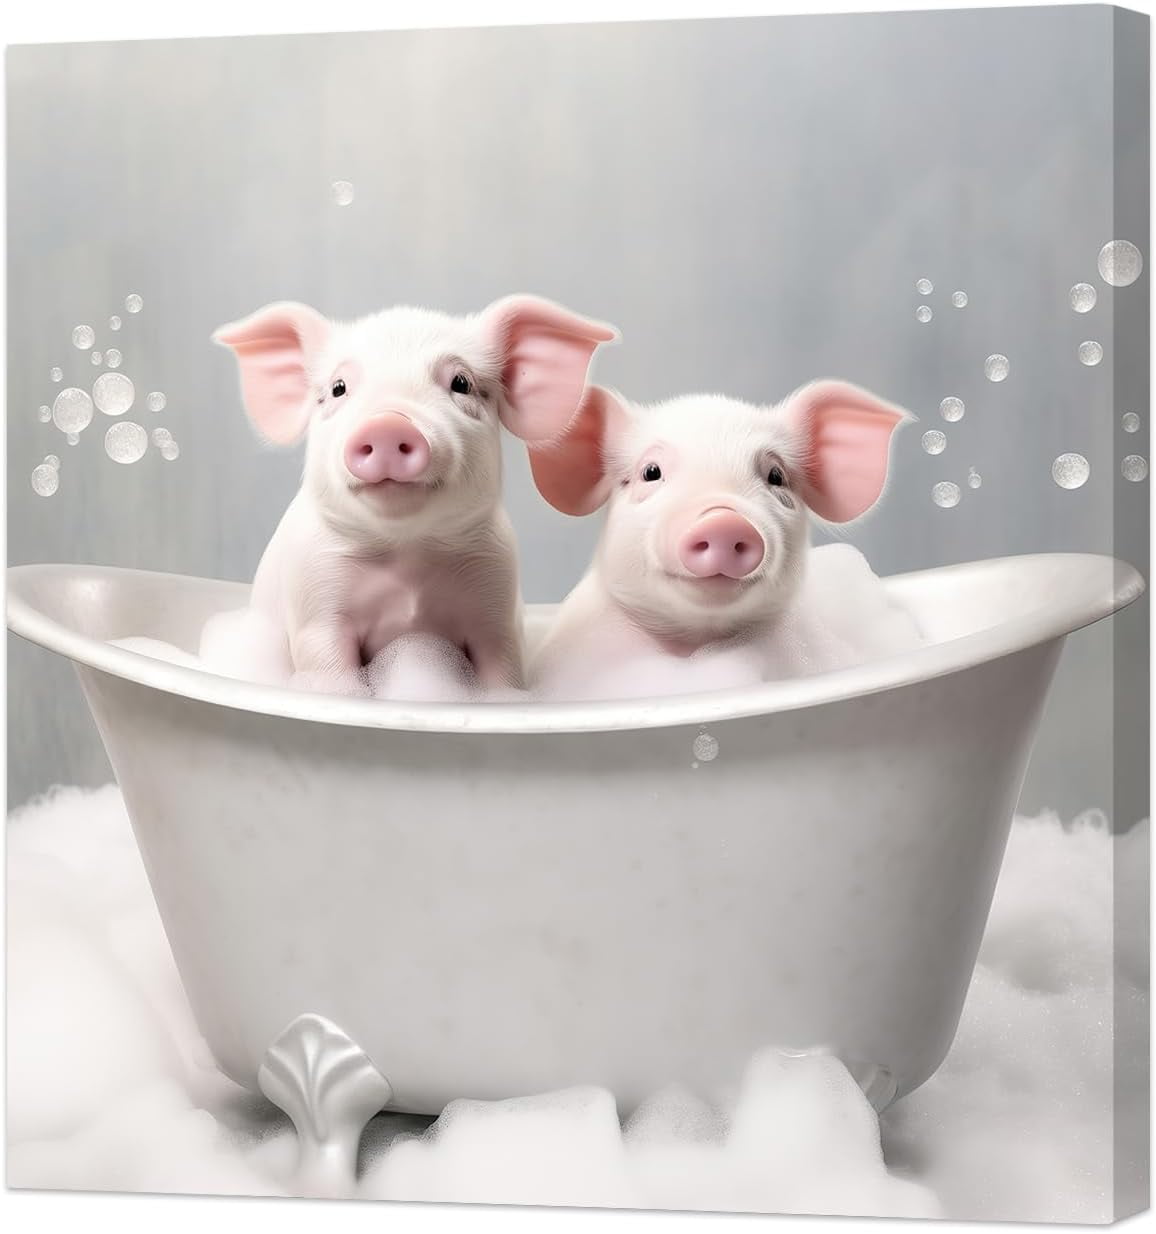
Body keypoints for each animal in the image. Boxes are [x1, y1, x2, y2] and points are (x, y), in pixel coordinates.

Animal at [209, 295, 617, 696]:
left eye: (461, 382)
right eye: (339, 387)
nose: (387, 424)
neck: (406, 553)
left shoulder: (496, 599)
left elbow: (501, 674)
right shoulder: (316, 602)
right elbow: (330, 669)